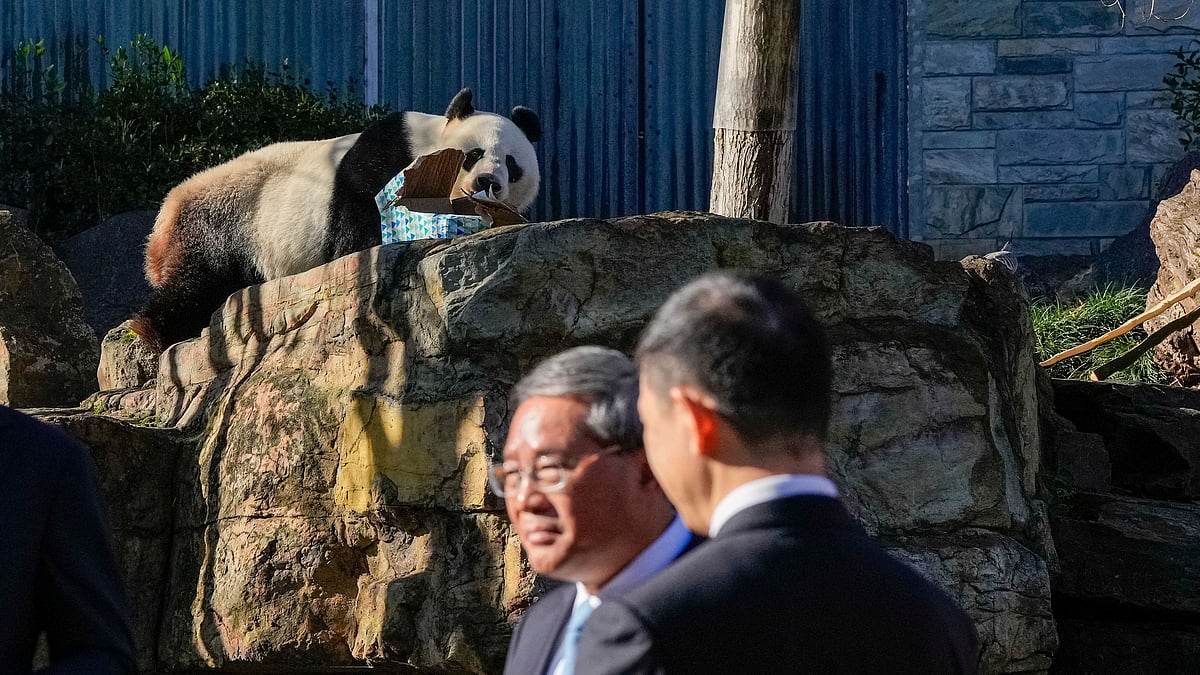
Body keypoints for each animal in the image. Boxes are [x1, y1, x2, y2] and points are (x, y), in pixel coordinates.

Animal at [132, 88, 541, 352]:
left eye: (512, 164)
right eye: (473, 154)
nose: (488, 182)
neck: (427, 146)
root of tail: (164, 220)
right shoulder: (384, 156)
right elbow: (358, 217)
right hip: (223, 220)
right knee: (197, 282)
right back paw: (158, 332)